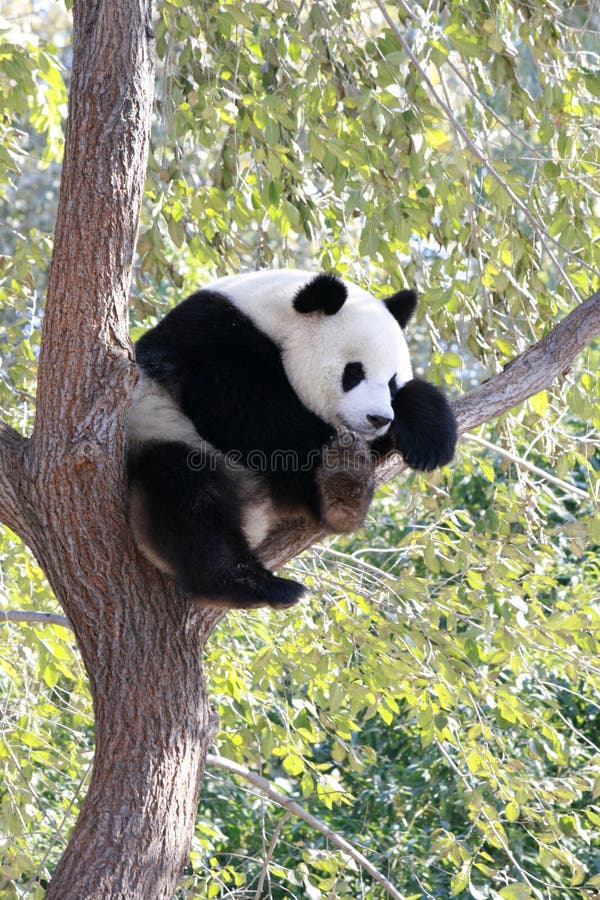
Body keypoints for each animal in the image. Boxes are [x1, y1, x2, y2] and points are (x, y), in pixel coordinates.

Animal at [127, 269, 457, 610]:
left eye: (391, 381)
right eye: (354, 373)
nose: (379, 419)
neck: (271, 317)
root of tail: (255, 517)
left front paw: (429, 439)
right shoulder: (206, 342)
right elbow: (248, 412)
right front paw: (332, 449)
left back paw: (342, 492)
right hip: (160, 431)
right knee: (188, 499)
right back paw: (251, 584)